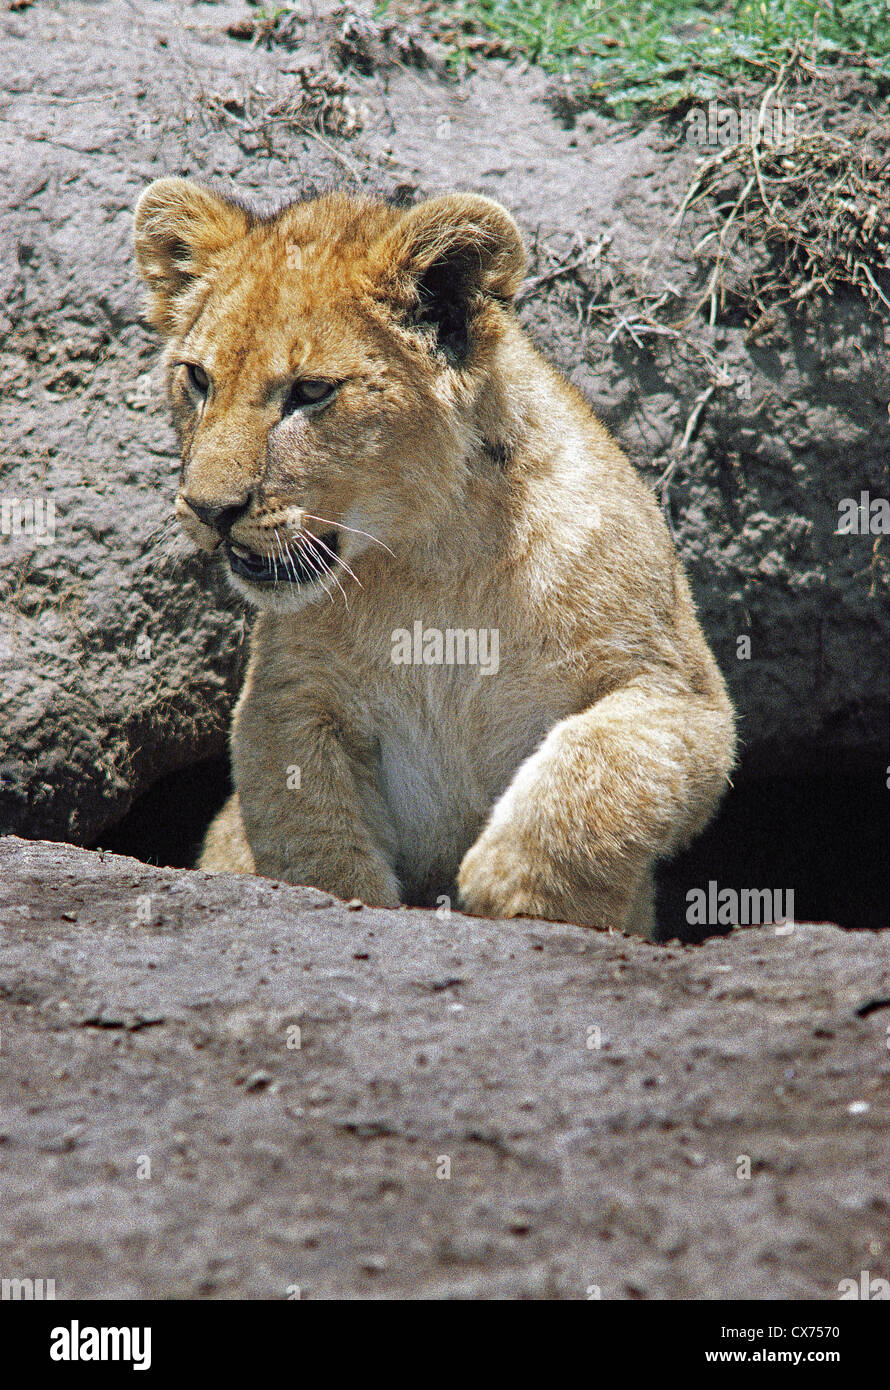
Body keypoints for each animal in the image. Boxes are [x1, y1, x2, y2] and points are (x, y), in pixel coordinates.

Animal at [133, 177, 736, 937]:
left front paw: (510, 889)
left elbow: (596, 772)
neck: (431, 563)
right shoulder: (289, 700)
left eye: (310, 392)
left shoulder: (676, 692)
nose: (209, 509)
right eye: (197, 379)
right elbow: (311, 836)